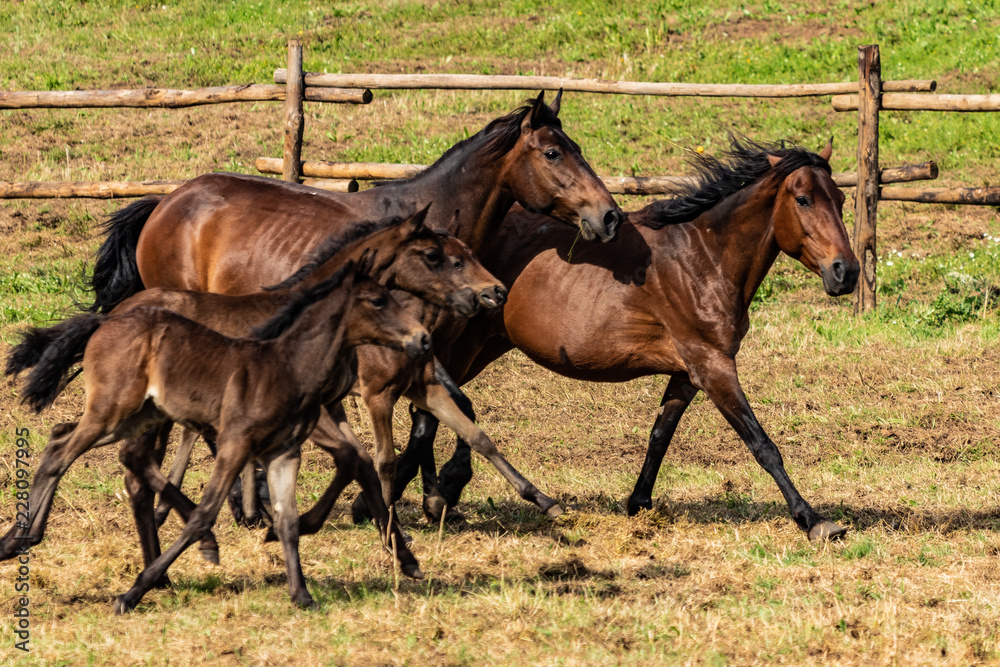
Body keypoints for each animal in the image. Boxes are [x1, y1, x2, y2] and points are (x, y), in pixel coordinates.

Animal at [0, 258, 430, 612]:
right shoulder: (234, 445)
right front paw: (132, 593)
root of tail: (106, 322)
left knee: (65, 442)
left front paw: (302, 595)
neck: (287, 365)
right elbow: (203, 513)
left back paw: (20, 538)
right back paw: (22, 539)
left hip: (135, 417)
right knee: (64, 455)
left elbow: (288, 521)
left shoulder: (284, 452)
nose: (423, 338)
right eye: (377, 300)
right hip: (112, 412)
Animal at [85, 92, 620, 524]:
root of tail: (165, 202)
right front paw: (402, 499)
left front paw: (437, 500)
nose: (609, 216)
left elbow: (437, 416)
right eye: (552, 152)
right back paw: (247, 509)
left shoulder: (430, 350)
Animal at [398, 137, 861, 543]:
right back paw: (431, 494)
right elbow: (762, 445)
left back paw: (432, 496)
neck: (704, 258)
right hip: (465, 346)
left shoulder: (688, 373)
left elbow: (660, 435)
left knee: (429, 407)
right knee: (430, 407)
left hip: (484, 345)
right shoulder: (713, 366)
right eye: (803, 200)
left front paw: (639, 504)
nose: (847, 272)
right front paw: (814, 520)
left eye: (840, 200)